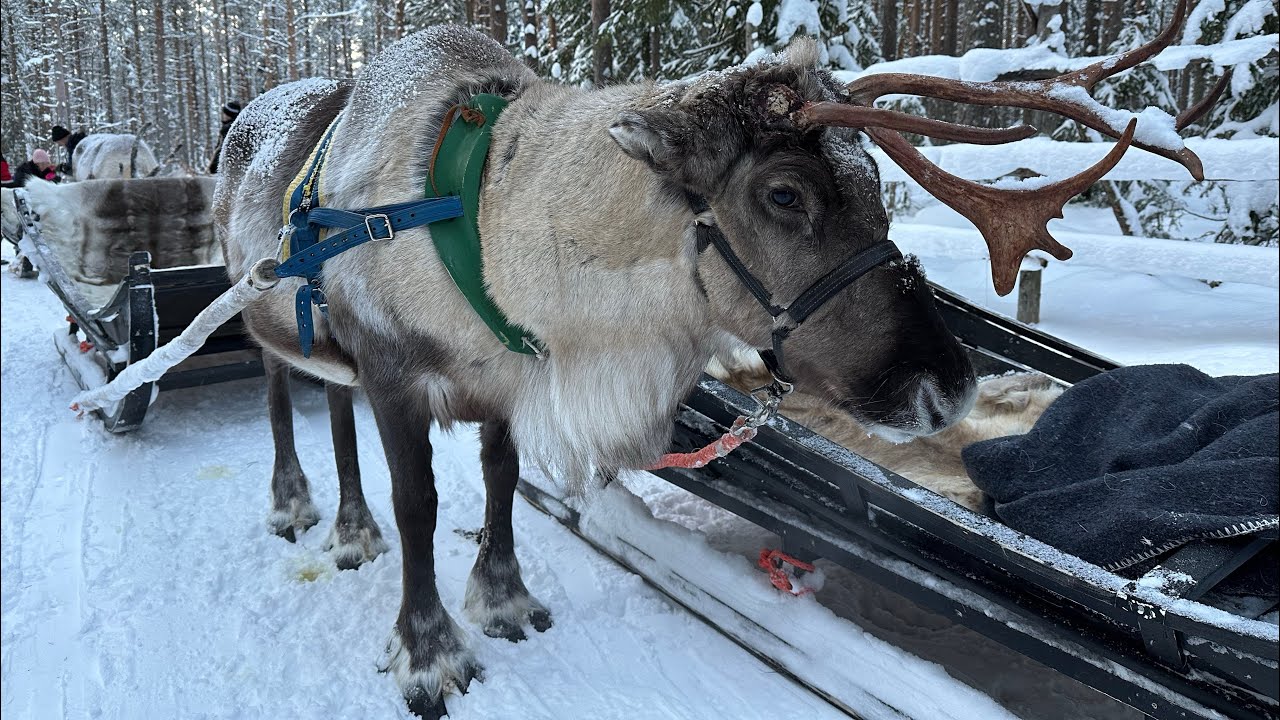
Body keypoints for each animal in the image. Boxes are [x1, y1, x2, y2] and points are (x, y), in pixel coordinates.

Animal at [213, 1, 1222, 714]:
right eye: (784, 194)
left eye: (875, 182)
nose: (951, 384)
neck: (492, 232)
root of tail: (237, 110)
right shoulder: (395, 370)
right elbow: (421, 505)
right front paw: (429, 654)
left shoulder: (503, 379)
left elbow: (499, 483)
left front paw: (503, 601)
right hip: (257, 306)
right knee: (284, 393)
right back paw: (306, 509)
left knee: (328, 399)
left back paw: (349, 526)